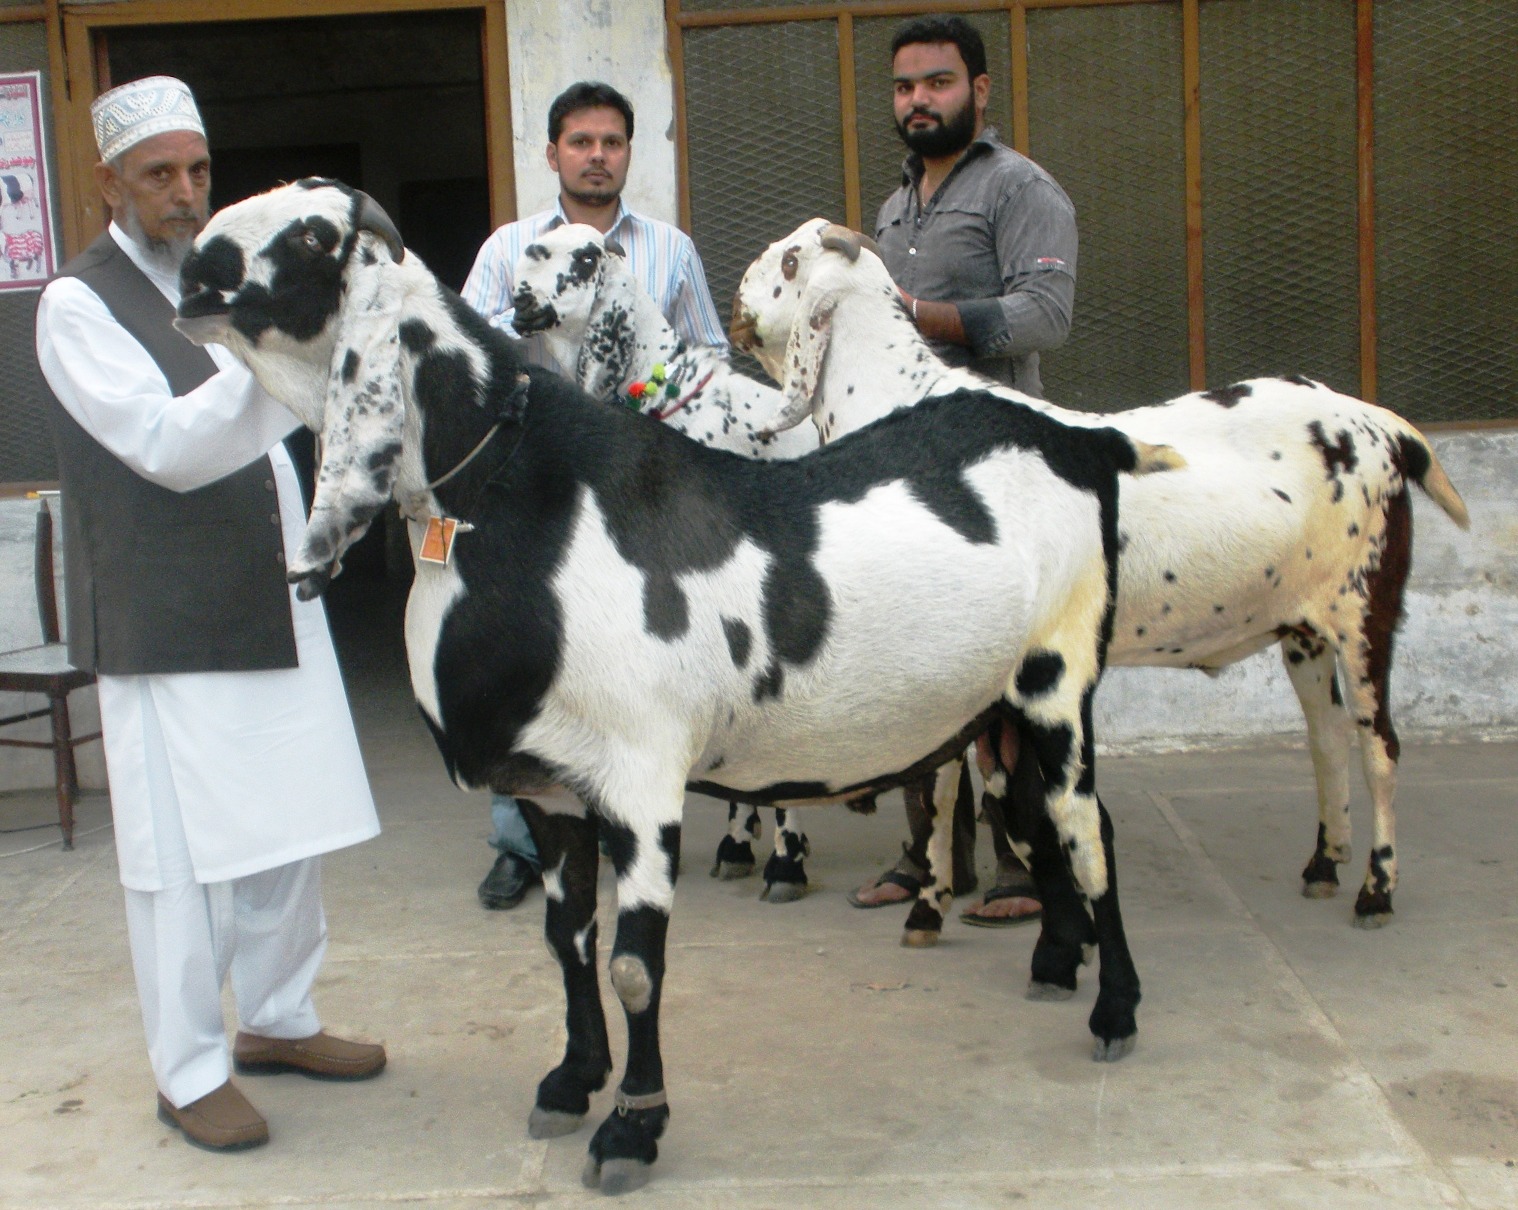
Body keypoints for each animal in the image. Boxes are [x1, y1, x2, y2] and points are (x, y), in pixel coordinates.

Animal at [175, 181, 1182, 1191]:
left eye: (314, 235)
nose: (192, 271)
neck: (518, 497)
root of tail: (1084, 443)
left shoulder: (642, 779)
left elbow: (634, 967)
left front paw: (630, 1130)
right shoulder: (553, 788)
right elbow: (568, 943)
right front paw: (570, 1082)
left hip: (1058, 684)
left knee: (1089, 829)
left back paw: (1117, 1010)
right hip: (1001, 710)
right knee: (1046, 821)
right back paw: (1056, 963)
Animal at [732, 218, 1471, 944]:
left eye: (790, 261)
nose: (737, 299)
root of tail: (1383, 426)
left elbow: (947, 784)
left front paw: (936, 903)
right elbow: (948, 785)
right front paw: (933, 900)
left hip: (1365, 608)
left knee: (1380, 746)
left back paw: (1376, 890)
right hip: (1304, 627)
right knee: (1328, 737)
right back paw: (1324, 863)